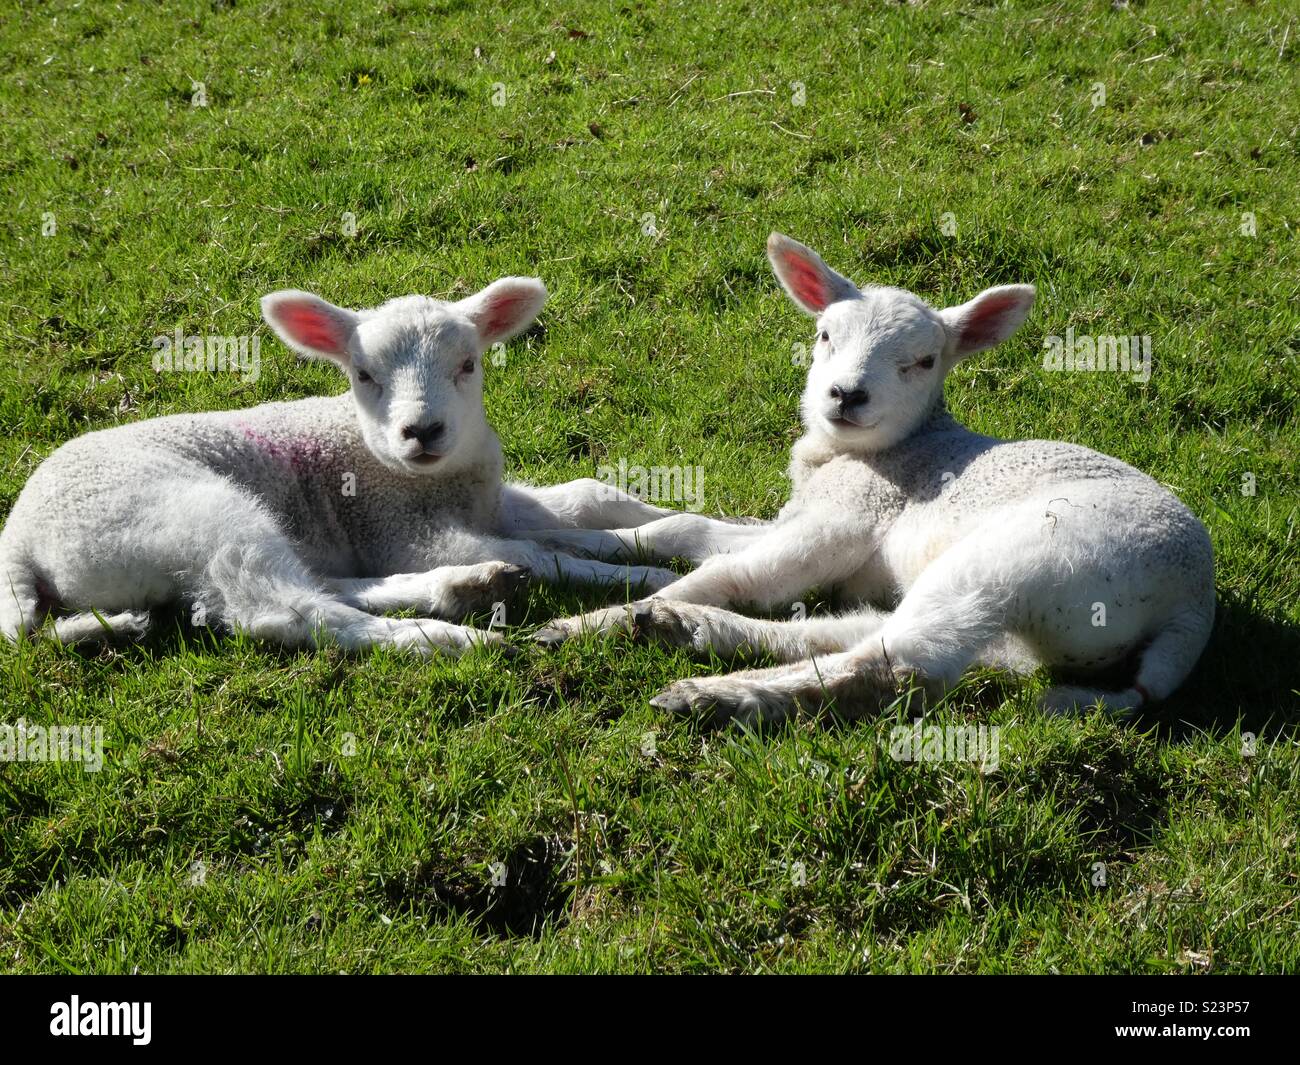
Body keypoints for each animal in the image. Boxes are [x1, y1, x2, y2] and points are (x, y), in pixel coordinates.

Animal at [0, 278, 677, 656]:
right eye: (363, 375)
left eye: (469, 364)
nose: (422, 431)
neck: (436, 481)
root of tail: (20, 541)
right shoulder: (403, 532)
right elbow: (549, 553)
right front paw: (643, 581)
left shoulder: (487, 503)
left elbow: (590, 501)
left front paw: (678, 530)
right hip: (185, 515)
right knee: (283, 608)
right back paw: (446, 637)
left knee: (317, 582)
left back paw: (467, 587)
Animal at [534, 233, 1215, 725]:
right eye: (823, 334)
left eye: (924, 361)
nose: (846, 394)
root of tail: (1191, 607)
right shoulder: (803, 515)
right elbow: (683, 529)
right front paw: (580, 546)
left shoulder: (847, 518)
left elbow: (728, 575)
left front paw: (598, 614)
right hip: (1023, 630)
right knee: (866, 634)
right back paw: (684, 633)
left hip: (1025, 558)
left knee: (896, 665)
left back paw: (709, 687)